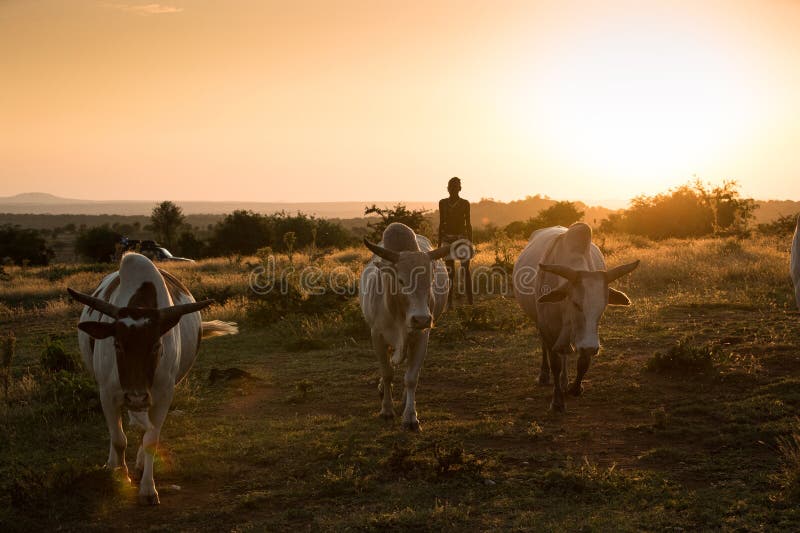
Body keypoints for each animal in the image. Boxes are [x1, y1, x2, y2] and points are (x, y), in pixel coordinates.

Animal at [67, 252, 238, 505]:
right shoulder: (107, 394)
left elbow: (151, 441)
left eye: (156, 345)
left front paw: (148, 488)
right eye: (117, 344)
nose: (136, 397)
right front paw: (121, 475)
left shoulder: (162, 395)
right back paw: (113, 464)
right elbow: (118, 439)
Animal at [360, 223, 450, 431]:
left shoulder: (421, 336)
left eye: (430, 280)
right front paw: (386, 409)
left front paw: (410, 416)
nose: (422, 319)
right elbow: (387, 373)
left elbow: (411, 377)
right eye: (401, 280)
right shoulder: (377, 336)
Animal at [512, 223, 639, 412]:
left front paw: (575, 388)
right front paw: (557, 401)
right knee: (546, 347)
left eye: (602, 307)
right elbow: (555, 362)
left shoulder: (586, 337)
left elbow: (583, 362)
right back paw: (544, 376)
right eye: (576, 303)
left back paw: (565, 382)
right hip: (539, 322)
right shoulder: (548, 328)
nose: (591, 347)